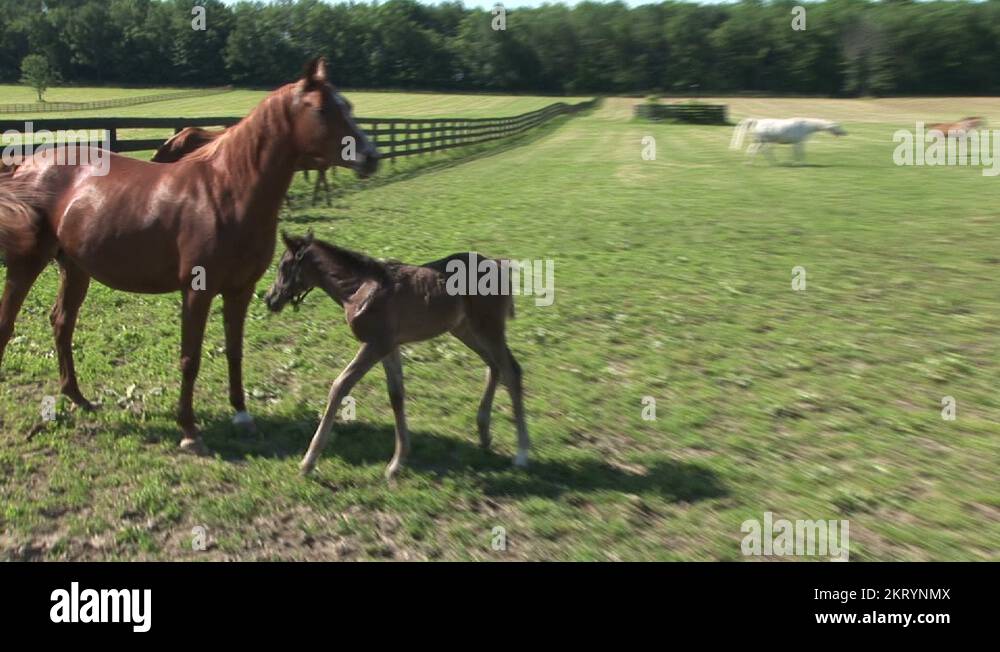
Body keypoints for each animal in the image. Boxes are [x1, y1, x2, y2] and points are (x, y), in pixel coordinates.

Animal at [263, 231, 530, 479]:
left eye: (284, 266)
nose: (270, 299)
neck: (359, 289)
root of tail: (498, 264)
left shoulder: (376, 344)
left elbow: (340, 386)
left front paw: (308, 462)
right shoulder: (390, 346)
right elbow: (396, 395)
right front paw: (397, 463)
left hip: (488, 328)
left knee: (511, 370)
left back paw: (521, 453)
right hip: (464, 329)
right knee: (494, 366)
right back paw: (484, 433)